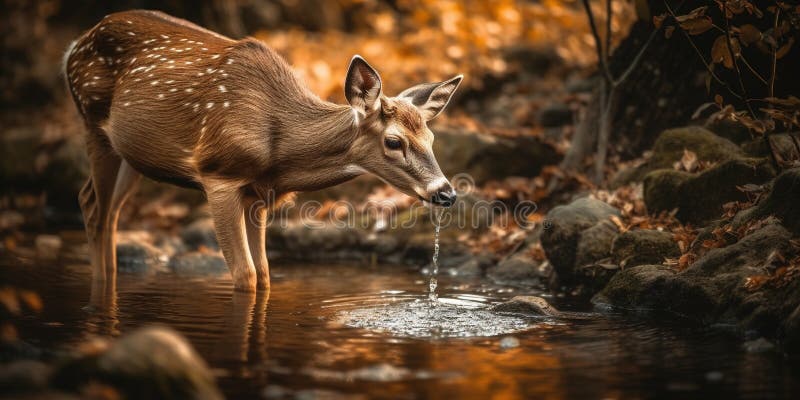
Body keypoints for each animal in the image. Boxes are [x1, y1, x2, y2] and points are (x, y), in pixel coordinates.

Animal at [64, 10, 462, 292]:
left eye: (431, 138)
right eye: (394, 141)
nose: (446, 193)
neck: (279, 152)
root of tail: (74, 45)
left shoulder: (259, 194)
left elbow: (266, 274)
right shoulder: (218, 173)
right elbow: (246, 276)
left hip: (131, 154)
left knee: (105, 209)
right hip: (92, 124)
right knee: (93, 206)